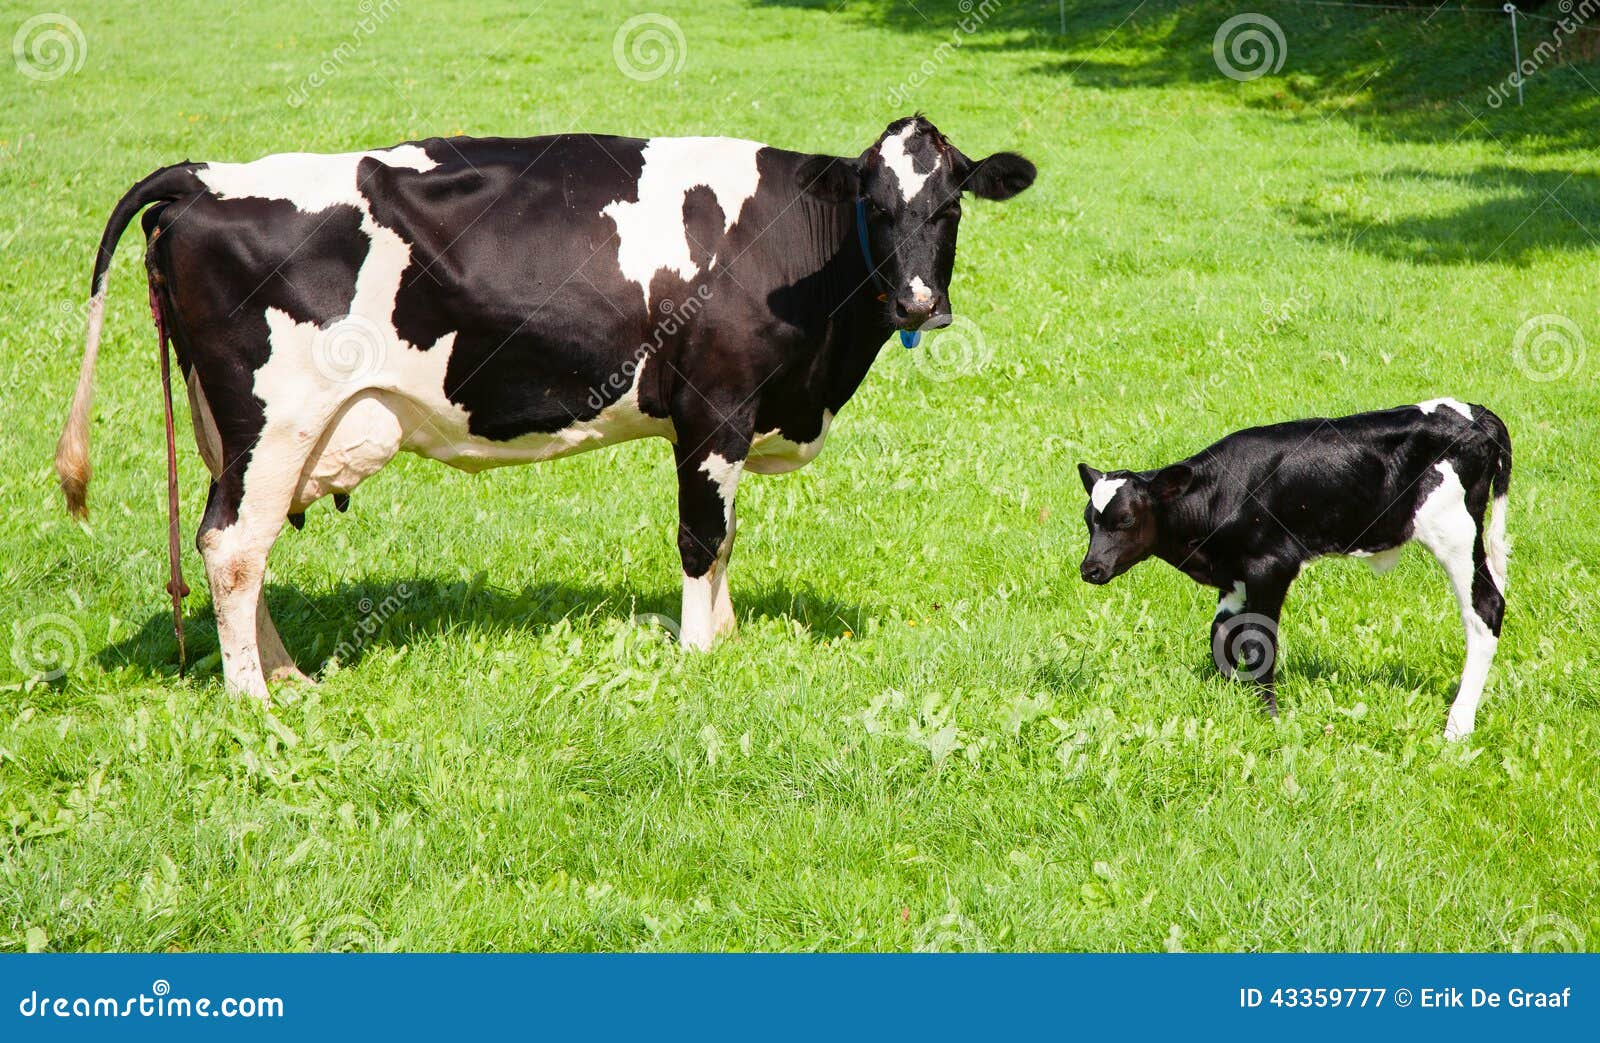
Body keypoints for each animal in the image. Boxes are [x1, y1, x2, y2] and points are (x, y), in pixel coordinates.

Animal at [54, 116, 1036, 702]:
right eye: (876, 203)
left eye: (950, 205)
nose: (917, 301)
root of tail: (204, 177)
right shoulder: (713, 404)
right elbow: (702, 535)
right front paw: (699, 652)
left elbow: (727, 538)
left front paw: (726, 636)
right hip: (275, 418)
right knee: (231, 545)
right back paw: (253, 697)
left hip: (245, 434)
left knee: (237, 541)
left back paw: (287, 673)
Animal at [1075, 399, 1511, 740]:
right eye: (1089, 520)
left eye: (1126, 520)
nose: (1090, 568)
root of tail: (1476, 413)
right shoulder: (1234, 576)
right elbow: (1223, 635)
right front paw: (1228, 700)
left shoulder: (1271, 566)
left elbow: (1259, 642)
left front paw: (1269, 718)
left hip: (1455, 532)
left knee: (1485, 608)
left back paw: (1458, 727)